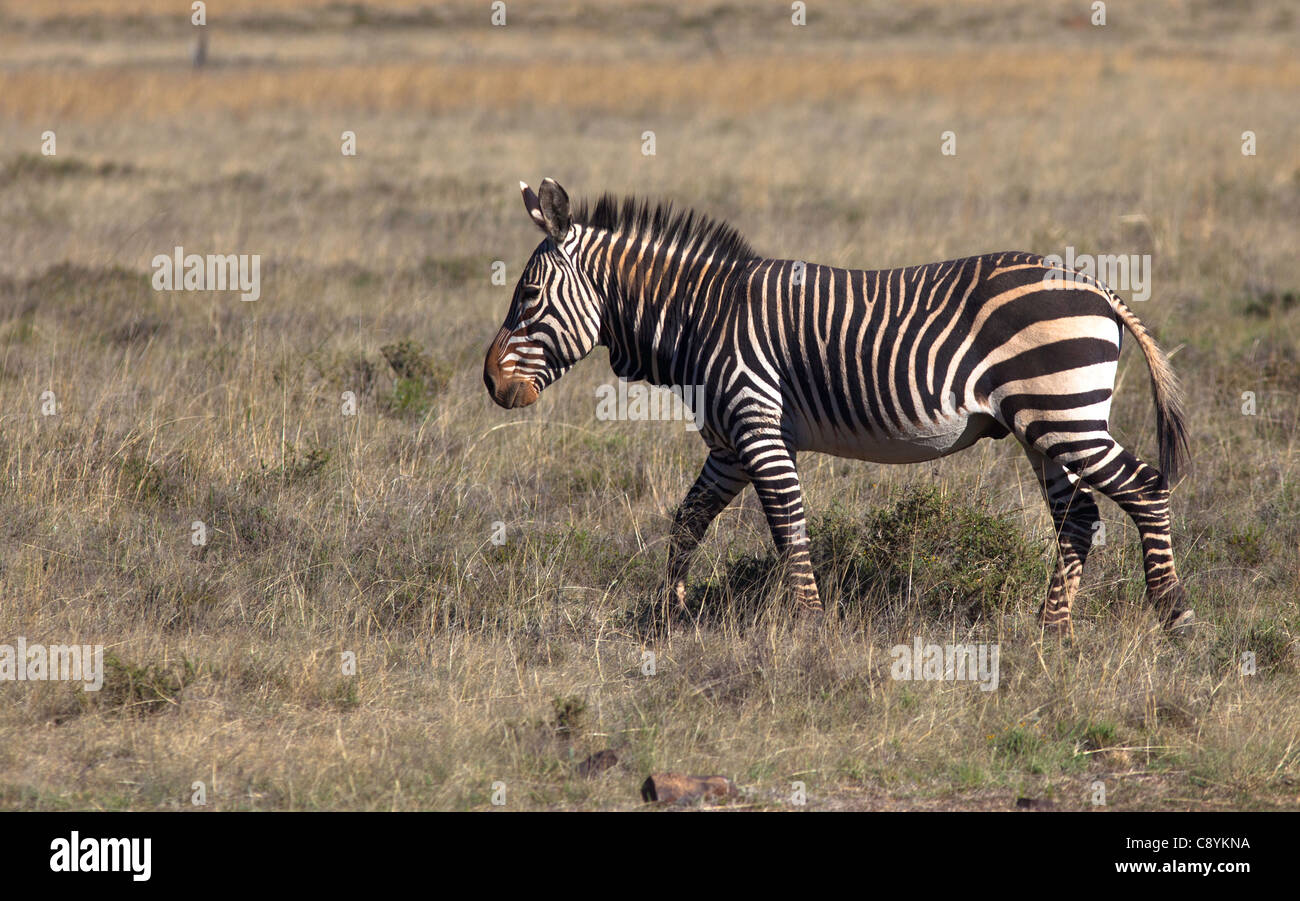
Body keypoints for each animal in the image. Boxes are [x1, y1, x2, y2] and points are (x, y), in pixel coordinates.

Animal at [484, 178, 1193, 634]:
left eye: (528, 296)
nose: (490, 382)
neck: (703, 319)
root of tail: (1094, 284)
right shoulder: (729, 447)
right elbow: (686, 523)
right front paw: (673, 614)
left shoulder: (760, 430)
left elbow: (788, 528)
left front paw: (807, 630)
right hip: (1045, 426)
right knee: (1079, 518)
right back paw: (1052, 636)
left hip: (1063, 414)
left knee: (1145, 488)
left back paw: (1173, 615)